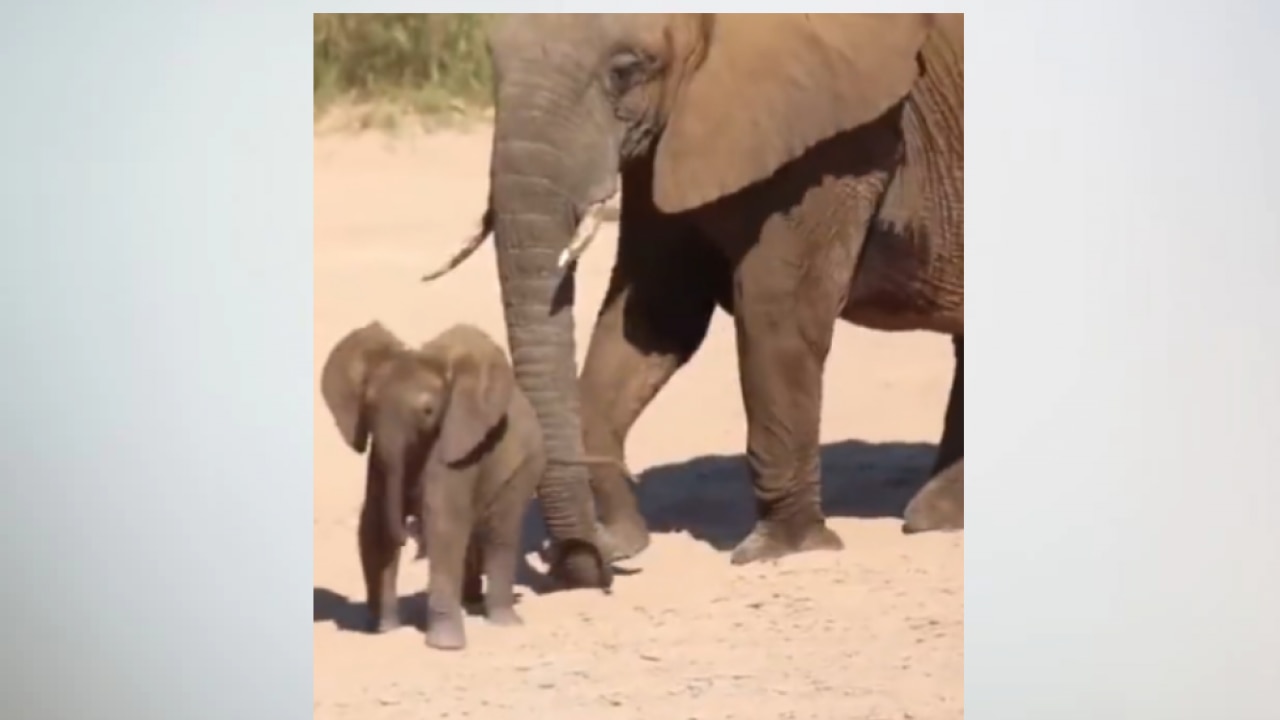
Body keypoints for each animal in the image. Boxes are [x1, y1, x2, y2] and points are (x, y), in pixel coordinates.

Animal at [421, 14, 964, 590]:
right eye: (492, 60)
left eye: (626, 70)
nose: (588, 562)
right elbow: (656, 311)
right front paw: (622, 539)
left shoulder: (844, 135)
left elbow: (777, 311)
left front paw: (782, 550)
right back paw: (938, 515)